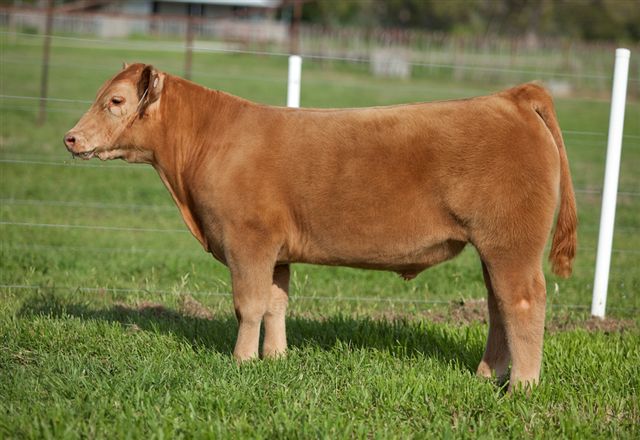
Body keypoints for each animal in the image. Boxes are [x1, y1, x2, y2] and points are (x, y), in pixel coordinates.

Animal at [64, 63, 577, 390]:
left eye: (115, 100)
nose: (70, 138)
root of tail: (511, 97)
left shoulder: (248, 239)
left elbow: (248, 305)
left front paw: (241, 361)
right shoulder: (277, 250)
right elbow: (276, 302)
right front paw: (276, 358)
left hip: (511, 243)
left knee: (523, 302)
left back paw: (523, 386)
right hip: (494, 248)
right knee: (498, 307)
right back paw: (487, 375)